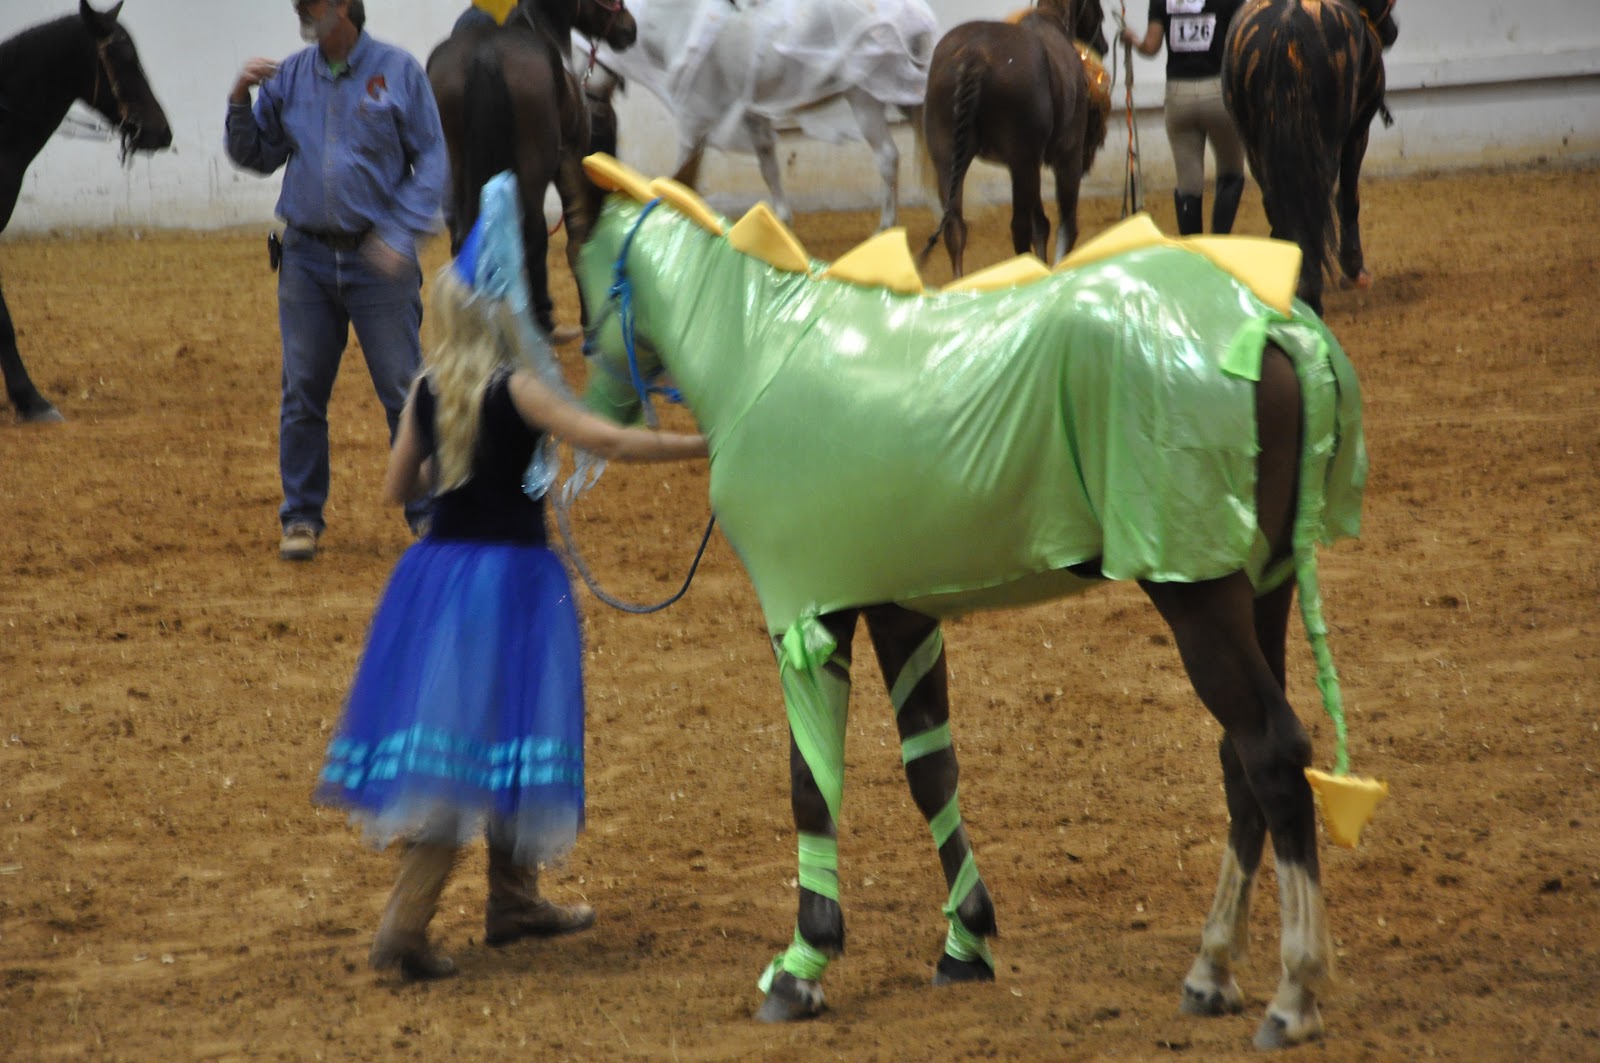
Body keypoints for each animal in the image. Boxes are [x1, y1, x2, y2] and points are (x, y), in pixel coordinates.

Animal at [426, 0, 637, 338]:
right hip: (533, 169)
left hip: (457, 166)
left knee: (464, 236)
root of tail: (485, 52)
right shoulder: (570, 159)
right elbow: (577, 234)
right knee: (532, 234)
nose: (629, 29)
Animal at [573, 154, 1371, 1050]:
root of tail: (1270, 325)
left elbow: (812, 782)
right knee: (1241, 761)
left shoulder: (807, 613)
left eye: (569, 262)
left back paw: (1293, 991)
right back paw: (1211, 969)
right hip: (1261, 587)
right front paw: (966, 942)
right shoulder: (899, 609)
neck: (760, 345)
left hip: (1198, 596)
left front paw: (803, 964)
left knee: (1270, 751)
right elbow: (932, 768)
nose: (594, 404)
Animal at [591, 0, 939, 230]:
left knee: (888, 157)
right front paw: (782, 222)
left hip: (865, 96)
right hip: (899, 92)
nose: (592, 96)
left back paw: (886, 227)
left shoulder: (696, 122)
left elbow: (680, 176)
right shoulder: (750, 115)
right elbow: (768, 167)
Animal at [917, 0, 1110, 279]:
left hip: (948, 160)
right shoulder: (1066, 156)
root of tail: (974, 55)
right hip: (1025, 163)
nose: (1104, 46)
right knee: (1023, 227)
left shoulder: (1030, 164)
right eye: (1100, 12)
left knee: (955, 228)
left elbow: (1041, 223)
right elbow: (1063, 225)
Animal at [1222, 0, 1399, 317]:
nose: (1393, 31)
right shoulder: (1358, 131)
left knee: (1280, 206)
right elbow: (1348, 199)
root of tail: (1287, 29)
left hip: (1258, 149)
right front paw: (1354, 270)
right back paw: (1311, 293)